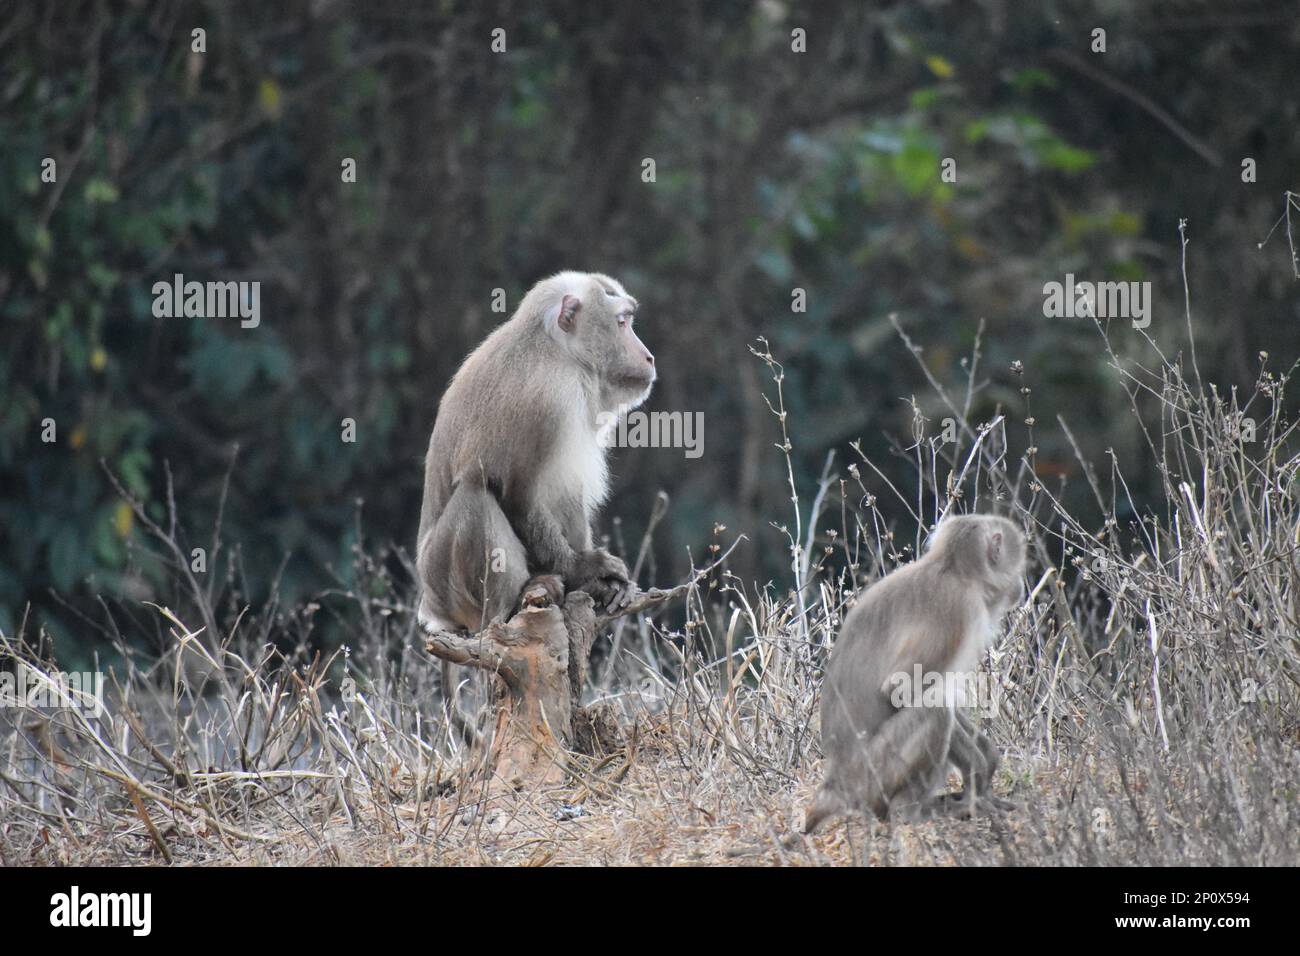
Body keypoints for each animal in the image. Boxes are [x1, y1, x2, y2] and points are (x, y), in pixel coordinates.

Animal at [416, 271, 656, 636]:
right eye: (622, 322)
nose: (648, 357)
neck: (560, 352)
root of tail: (431, 607)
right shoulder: (547, 399)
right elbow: (519, 495)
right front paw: (584, 569)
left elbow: (568, 491)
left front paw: (594, 582)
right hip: (444, 582)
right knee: (475, 496)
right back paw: (509, 607)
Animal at [805, 514, 1026, 832]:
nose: (1020, 584)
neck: (951, 568)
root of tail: (836, 780)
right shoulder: (957, 609)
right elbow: (902, 689)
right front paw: (978, 771)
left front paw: (987, 754)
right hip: (873, 776)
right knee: (936, 712)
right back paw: (909, 812)